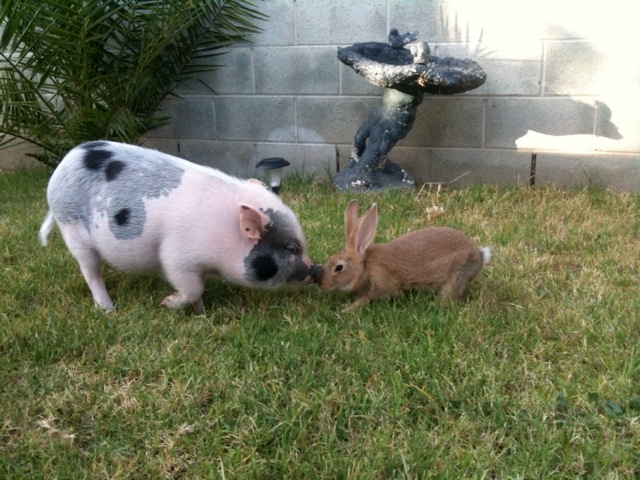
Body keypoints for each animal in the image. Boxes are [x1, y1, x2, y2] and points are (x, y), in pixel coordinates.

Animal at [38, 141, 313, 313]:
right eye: (290, 248)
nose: (315, 269)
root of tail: (63, 164)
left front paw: (201, 312)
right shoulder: (175, 257)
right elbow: (191, 288)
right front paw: (166, 304)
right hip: (71, 230)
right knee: (90, 272)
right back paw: (108, 309)